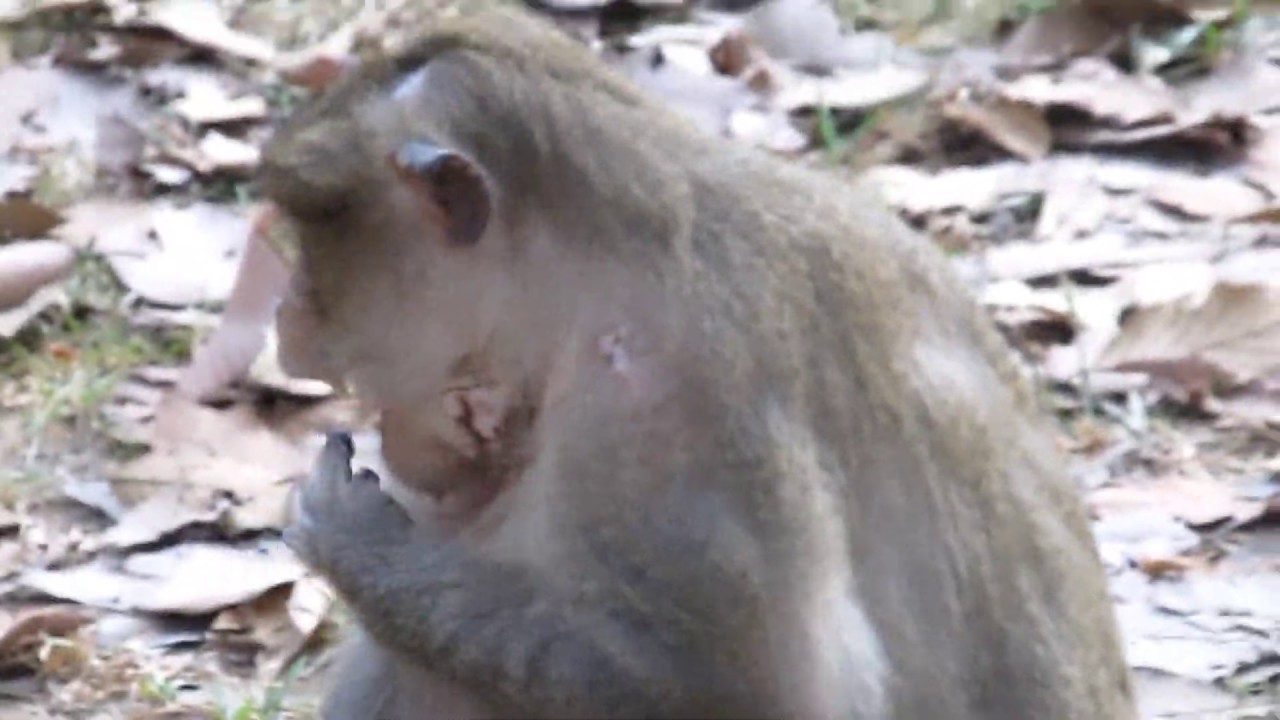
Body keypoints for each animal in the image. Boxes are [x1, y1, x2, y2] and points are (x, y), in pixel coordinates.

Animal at [267, 8, 1137, 720]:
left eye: (319, 239)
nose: (286, 311)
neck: (595, 267)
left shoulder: (666, 406)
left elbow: (749, 691)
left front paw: (355, 544)